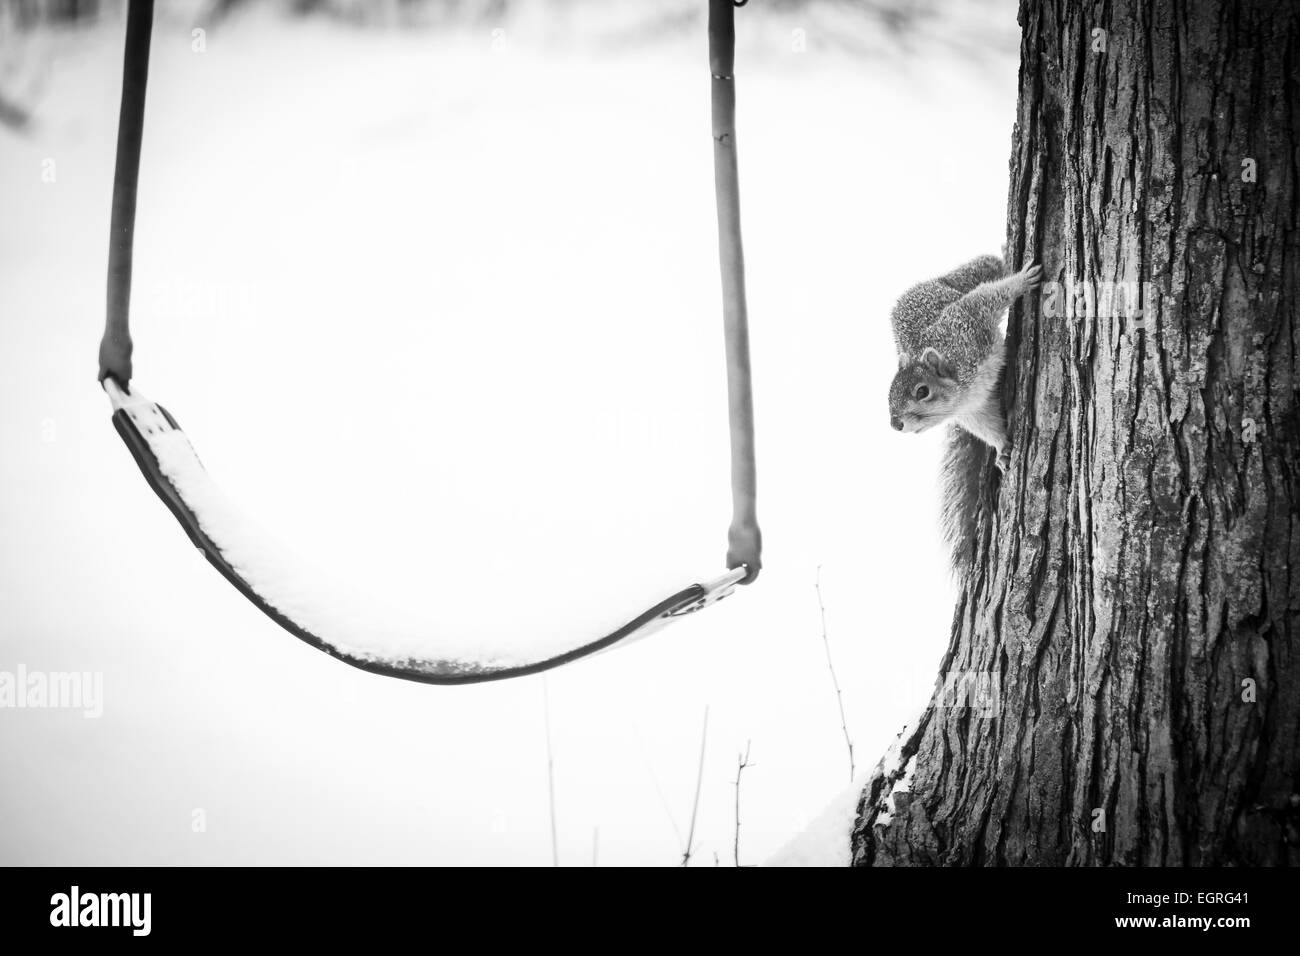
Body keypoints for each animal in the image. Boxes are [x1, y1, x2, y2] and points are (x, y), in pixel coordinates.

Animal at [887, 253, 1041, 570]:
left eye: (922, 391)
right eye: (889, 395)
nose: (896, 424)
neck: (961, 391)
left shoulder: (966, 326)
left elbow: (987, 297)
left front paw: (1022, 280)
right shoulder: (974, 409)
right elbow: (989, 426)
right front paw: (1003, 449)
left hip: (967, 279)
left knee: (987, 267)